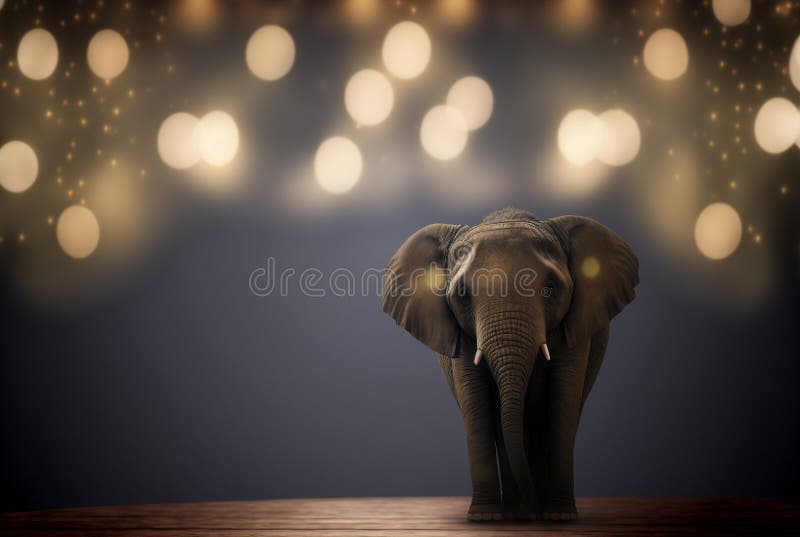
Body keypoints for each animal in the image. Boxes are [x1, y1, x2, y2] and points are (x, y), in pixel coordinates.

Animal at [381, 208, 638, 521]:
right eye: (462, 295)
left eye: (550, 290)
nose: (533, 510)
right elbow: (476, 405)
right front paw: (484, 518)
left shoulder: (577, 324)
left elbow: (563, 403)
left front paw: (560, 517)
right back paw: (516, 513)